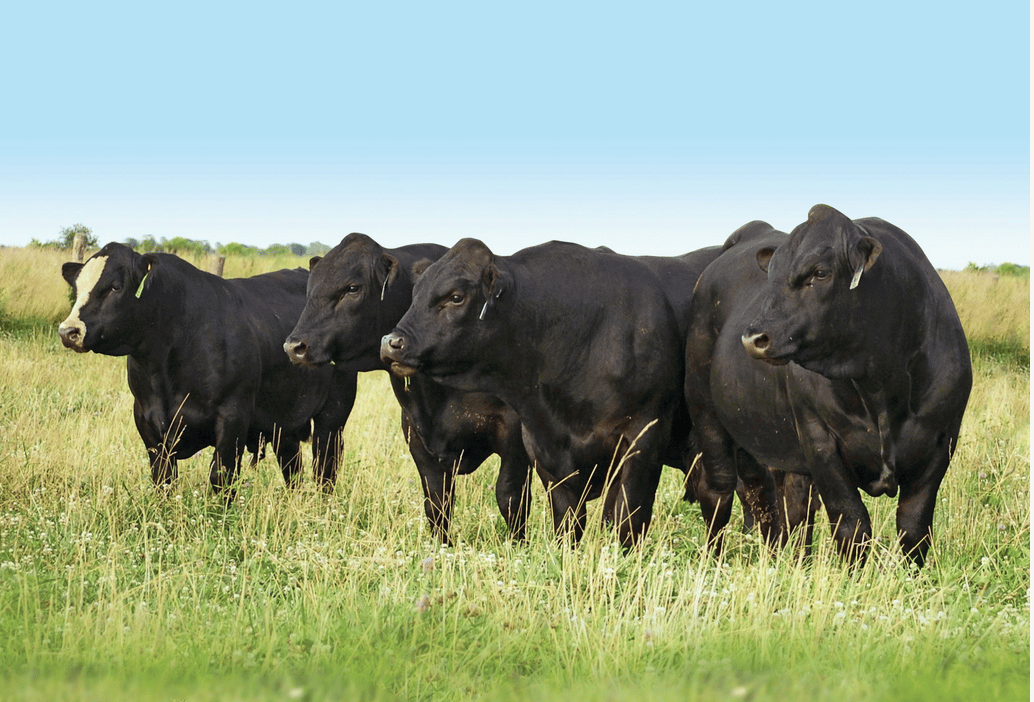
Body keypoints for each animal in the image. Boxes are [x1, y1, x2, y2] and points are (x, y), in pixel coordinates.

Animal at [59, 243, 356, 496]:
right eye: (77, 286)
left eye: (115, 287)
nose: (69, 331)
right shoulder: (146, 419)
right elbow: (163, 479)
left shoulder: (233, 415)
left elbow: (221, 477)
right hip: (284, 420)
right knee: (292, 468)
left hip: (334, 414)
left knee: (326, 468)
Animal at [282, 233, 532, 544]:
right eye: (310, 288)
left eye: (352, 288)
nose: (295, 345)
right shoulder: (417, 436)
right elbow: (437, 503)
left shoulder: (514, 434)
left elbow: (510, 498)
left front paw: (518, 546)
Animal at [380, 238, 685, 548]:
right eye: (415, 293)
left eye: (456, 297)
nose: (392, 342)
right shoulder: (542, 448)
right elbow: (567, 523)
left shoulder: (644, 440)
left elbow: (627, 517)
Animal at [685, 206, 971, 565]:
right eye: (772, 274)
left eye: (820, 273)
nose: (753, 337)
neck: (879, 387)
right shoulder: (820, 440)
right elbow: (852, 525)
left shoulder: (942, 441)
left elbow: (914, 528)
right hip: (706, 411)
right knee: (720, 490)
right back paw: (714, 561)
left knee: (784, 503)